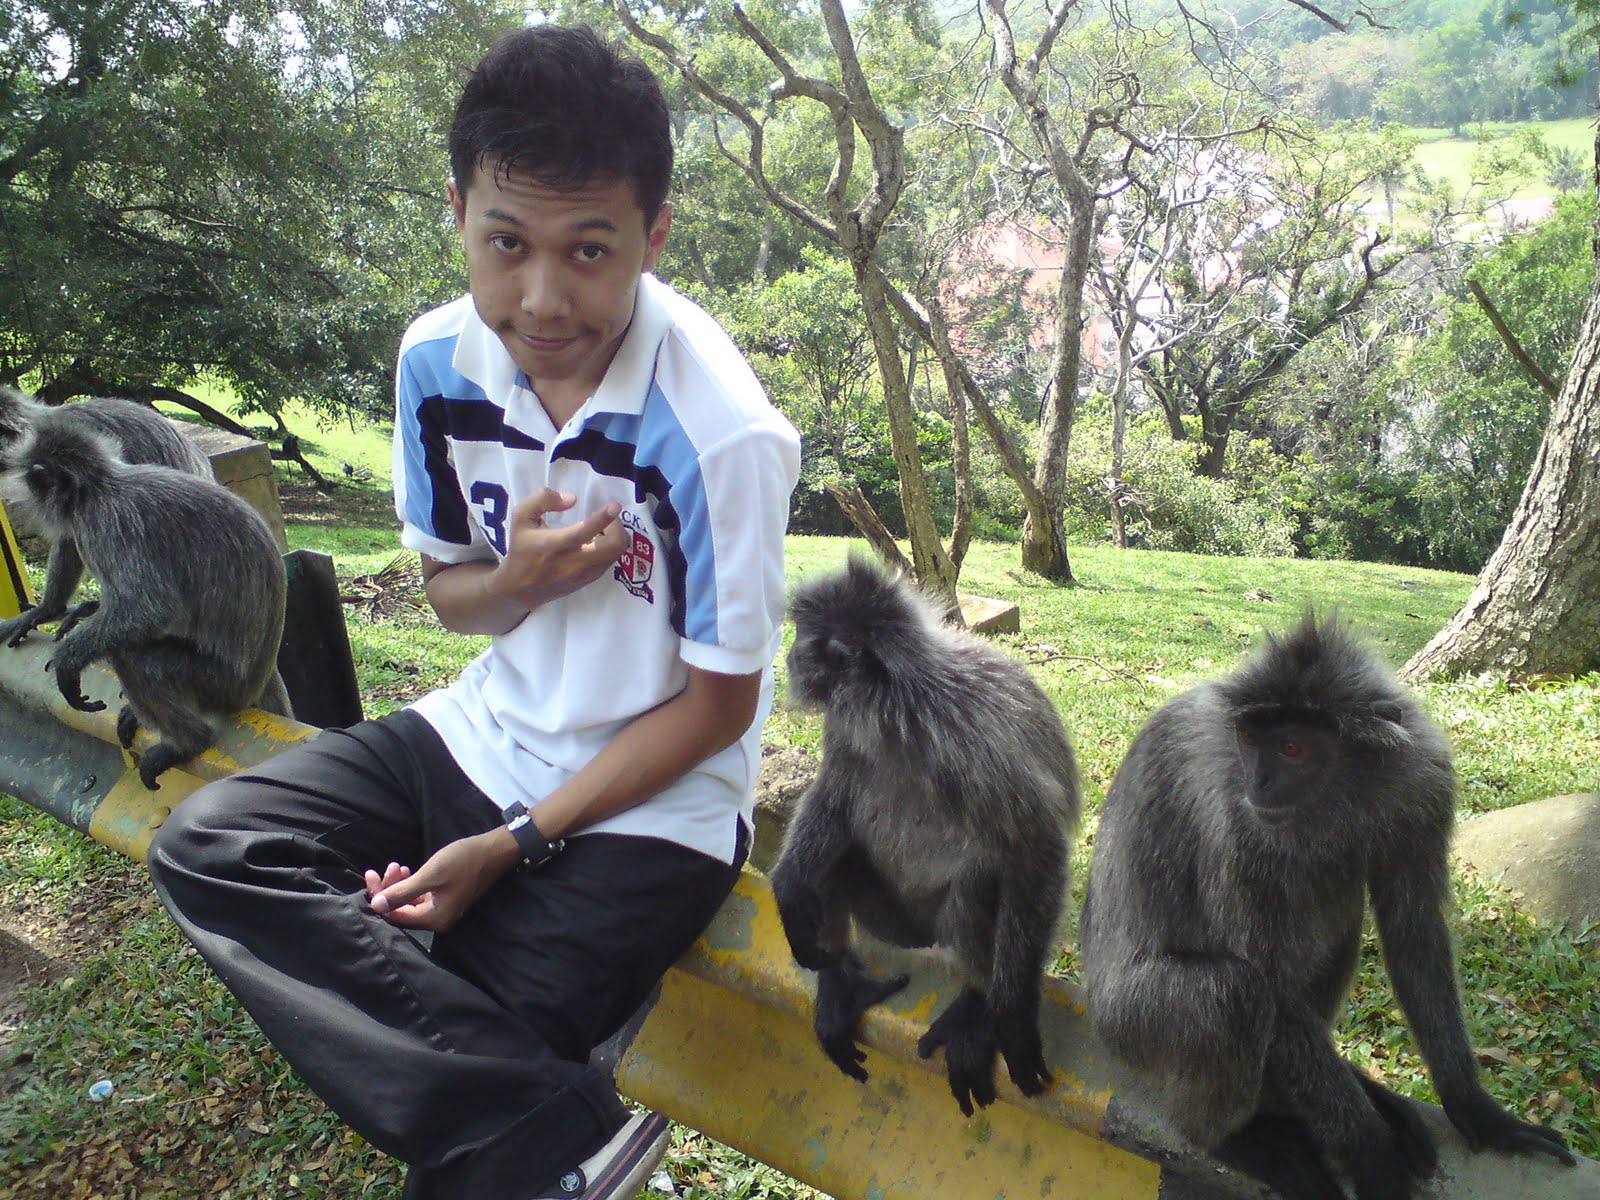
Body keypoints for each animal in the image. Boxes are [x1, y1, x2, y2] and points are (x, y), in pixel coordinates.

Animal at [0, 420, 292, 791]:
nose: (26, 497)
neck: (100, 484)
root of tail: (261, 675)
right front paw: (46, 610)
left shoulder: (109, 524)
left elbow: (150, 609)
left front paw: (68, 658)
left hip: (221, 684)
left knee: (134, 655)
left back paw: (190, 743)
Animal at [769, 554, 1081, 1117]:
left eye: (805, 636)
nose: (790, 654)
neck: (891, 702)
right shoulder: (848, 720)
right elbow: (834, 799)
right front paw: (786, 886)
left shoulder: (967, 733)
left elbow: (1037, 845)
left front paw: (1012, 1018)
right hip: (890, 923)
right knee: (836, 857)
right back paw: (841, 982)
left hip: (930, 924)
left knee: (978, 880)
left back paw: (979, 1006)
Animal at [1078, 612, 1575, 1200]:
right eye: (1251, 740)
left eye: (1292, 747)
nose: (1260, 780)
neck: (1341, 792)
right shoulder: (1237, 819)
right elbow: (1269, 986)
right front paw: (1370, 1152)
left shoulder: (1423, 780)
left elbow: (1414, 934)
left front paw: (1476, 1110)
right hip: (1130, 1023)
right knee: (1234, 994)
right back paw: (1241, 1139)